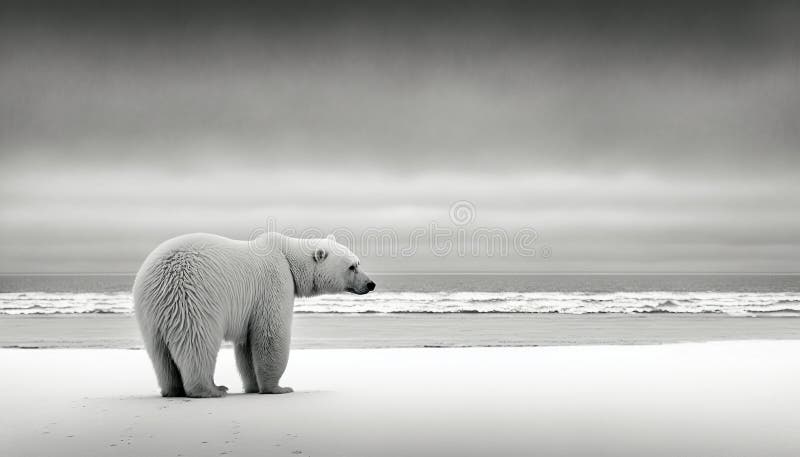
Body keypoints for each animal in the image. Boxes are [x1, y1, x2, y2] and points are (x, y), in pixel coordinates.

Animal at [133, 232, 375, 398]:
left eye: (358, 262)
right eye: (352, 267)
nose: (371, 284)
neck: (287, 257)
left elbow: (247, 347)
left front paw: (252, 386)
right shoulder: (274, 285)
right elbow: (270, 335)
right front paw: (278, 387)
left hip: (149, 309)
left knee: (159, 353)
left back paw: (173, 389)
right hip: (193, 297)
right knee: (197, 343)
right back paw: (212, 389)